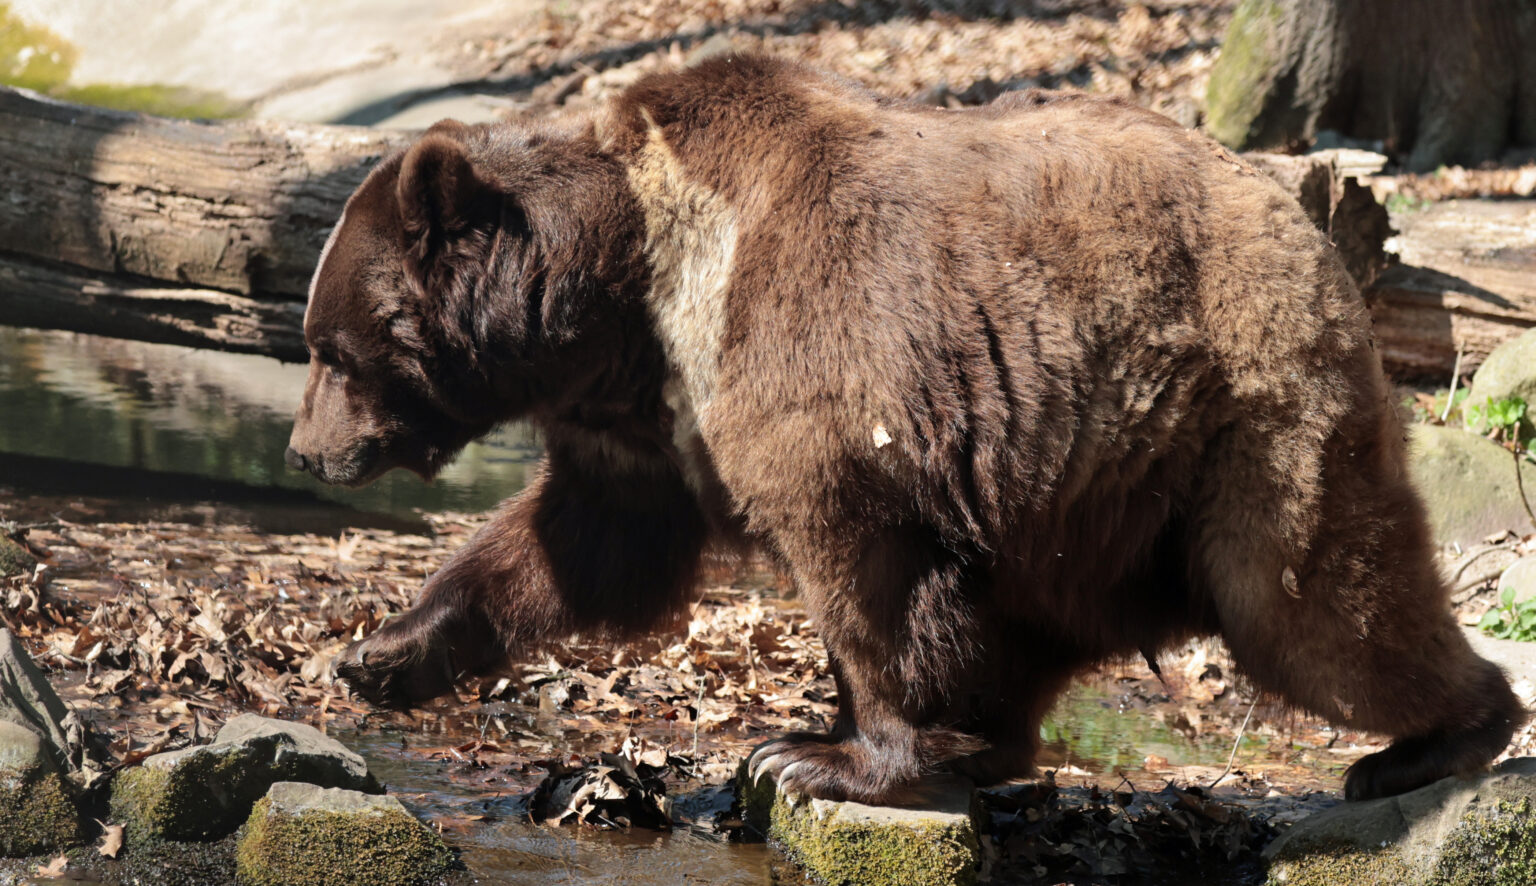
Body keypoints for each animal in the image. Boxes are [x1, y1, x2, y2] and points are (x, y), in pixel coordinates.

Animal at [286, 54, 1525, 805]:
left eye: (331, 348)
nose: (308, 451)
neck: (627, 289)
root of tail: (1296, 213)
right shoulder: (648, 417)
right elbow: (587, 542)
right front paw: (383, 651)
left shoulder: (796, 351)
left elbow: (855, 553)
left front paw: (826, 754)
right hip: (1089, 490)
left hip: (1236, 407)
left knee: (1313, 604)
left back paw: (1436, 738)